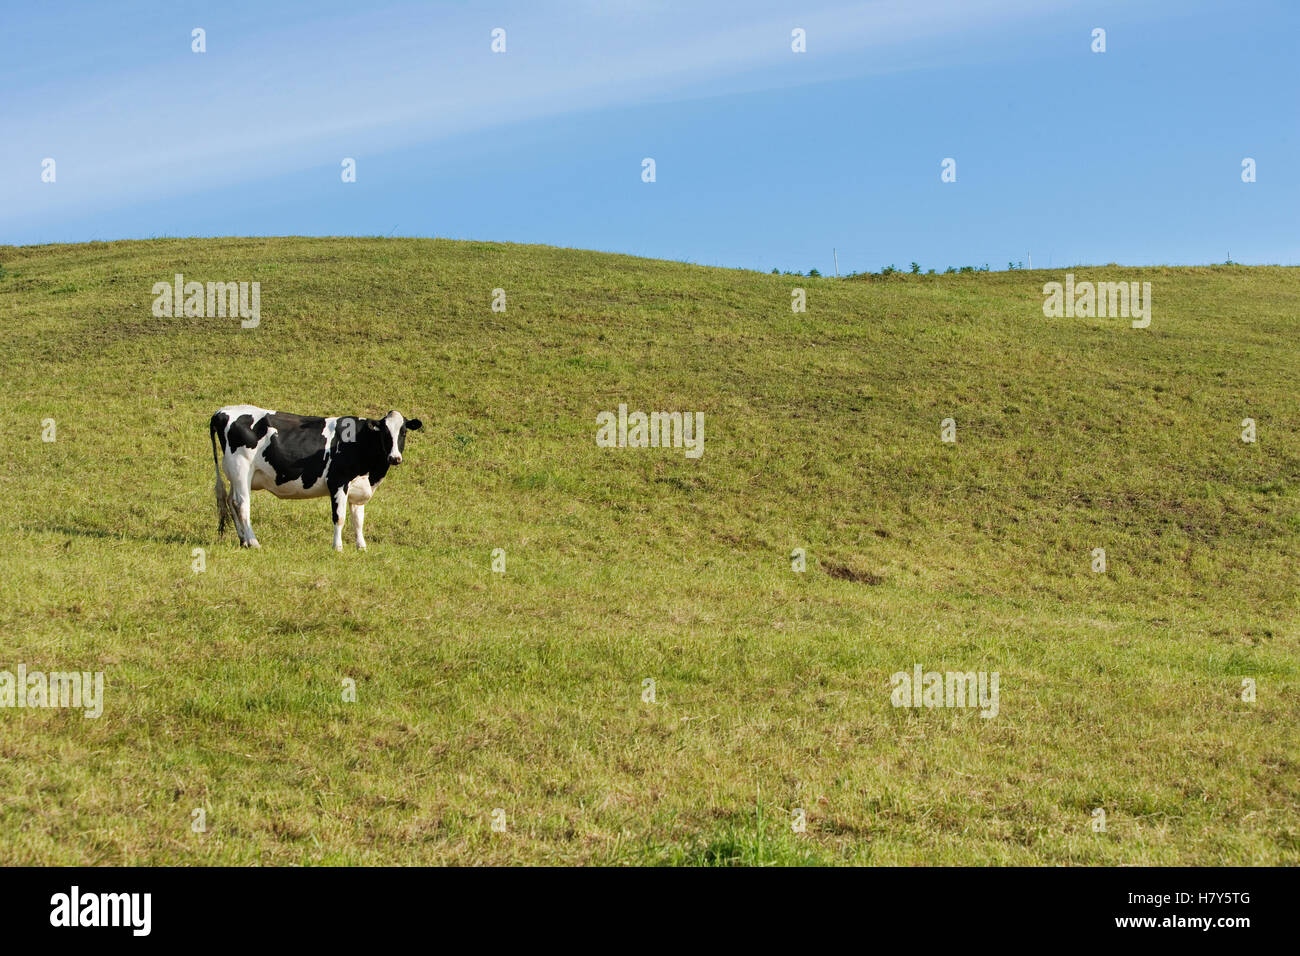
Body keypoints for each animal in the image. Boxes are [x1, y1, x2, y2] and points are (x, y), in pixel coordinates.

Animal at [209, 405, 422, 551]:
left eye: (403, 432)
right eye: (385, 433)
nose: (395, 458)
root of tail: (222, 411)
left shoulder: (358, 489)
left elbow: (358, 519)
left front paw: (361, 547)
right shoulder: (338, 482)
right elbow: (339, 517)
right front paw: (338, 547)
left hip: (235, 475)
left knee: (231, 501)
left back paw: (243, 540)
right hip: (241, 469)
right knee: (242, 504)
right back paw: (254, 542)